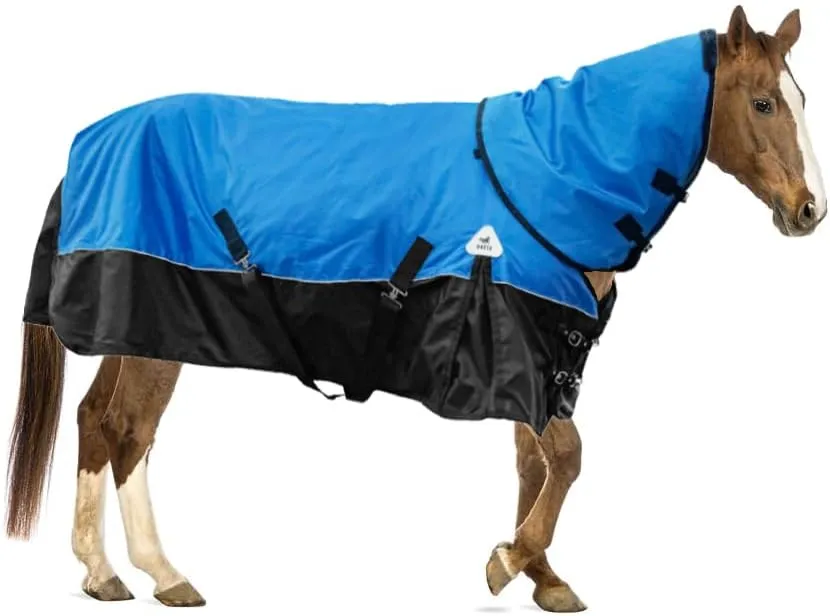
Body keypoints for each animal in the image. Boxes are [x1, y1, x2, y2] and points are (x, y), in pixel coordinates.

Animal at [4, 5, 825, 611]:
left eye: (802, 100)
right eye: (762, 102)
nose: (809, 211)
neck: (552, 176)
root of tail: (88, 147)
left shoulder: (539, 353)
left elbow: (533, 461)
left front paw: (544, 578)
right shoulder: (517, 342)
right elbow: (565, 457)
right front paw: (507, 561)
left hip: (134, 329)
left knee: (96, 422)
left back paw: (100, 572)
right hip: (155, 330)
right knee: (128, 429)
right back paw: (161, 573)